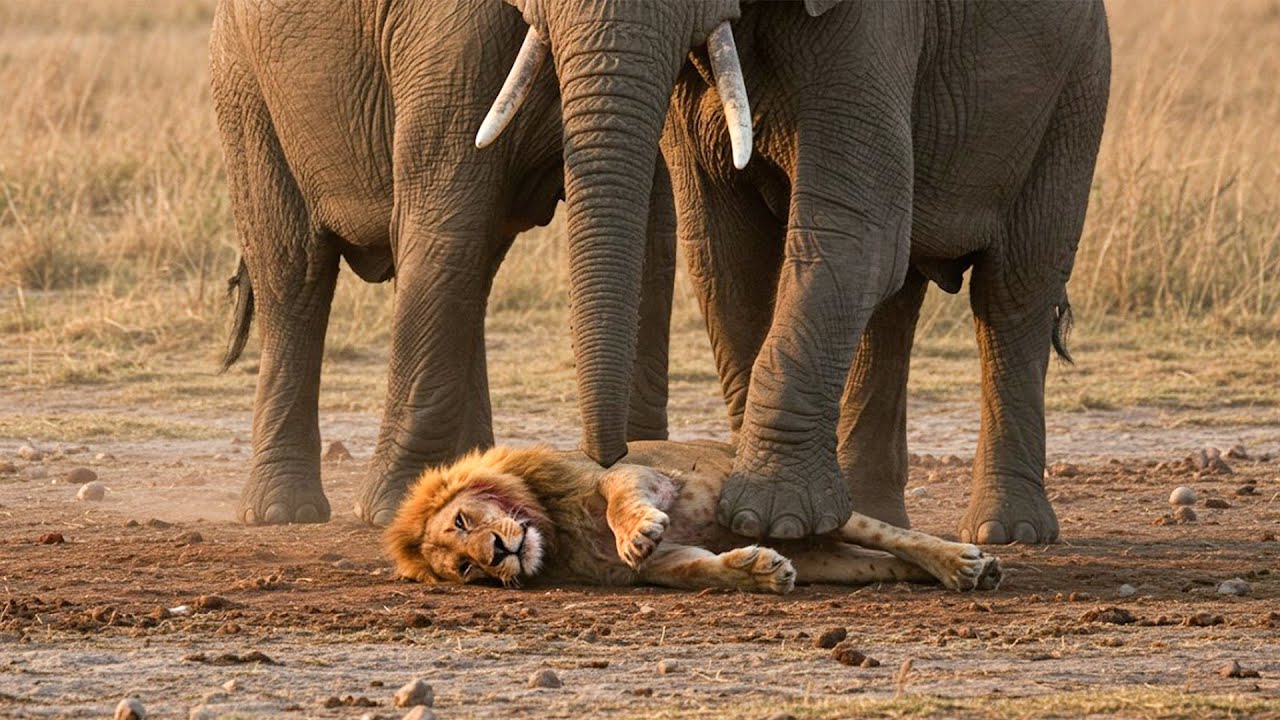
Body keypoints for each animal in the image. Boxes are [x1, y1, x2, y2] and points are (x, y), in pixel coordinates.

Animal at [208, 0, 677, 526]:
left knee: (473, 268)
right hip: (245, 85)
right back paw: (281, 512)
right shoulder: (452, 43)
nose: (609, 460)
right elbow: (446, 219)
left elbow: (653, 225)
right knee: (295, 270)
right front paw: (391, 510)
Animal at [481, 0, 1111, 544]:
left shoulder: (874, 25)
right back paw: (875, 516)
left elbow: (854, 229)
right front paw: (753, 514)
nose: (611, 460)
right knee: (895, 304)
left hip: (1075, 93)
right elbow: (725, 253)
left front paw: (772, 520)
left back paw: (1010, 532)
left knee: (1013, 293)